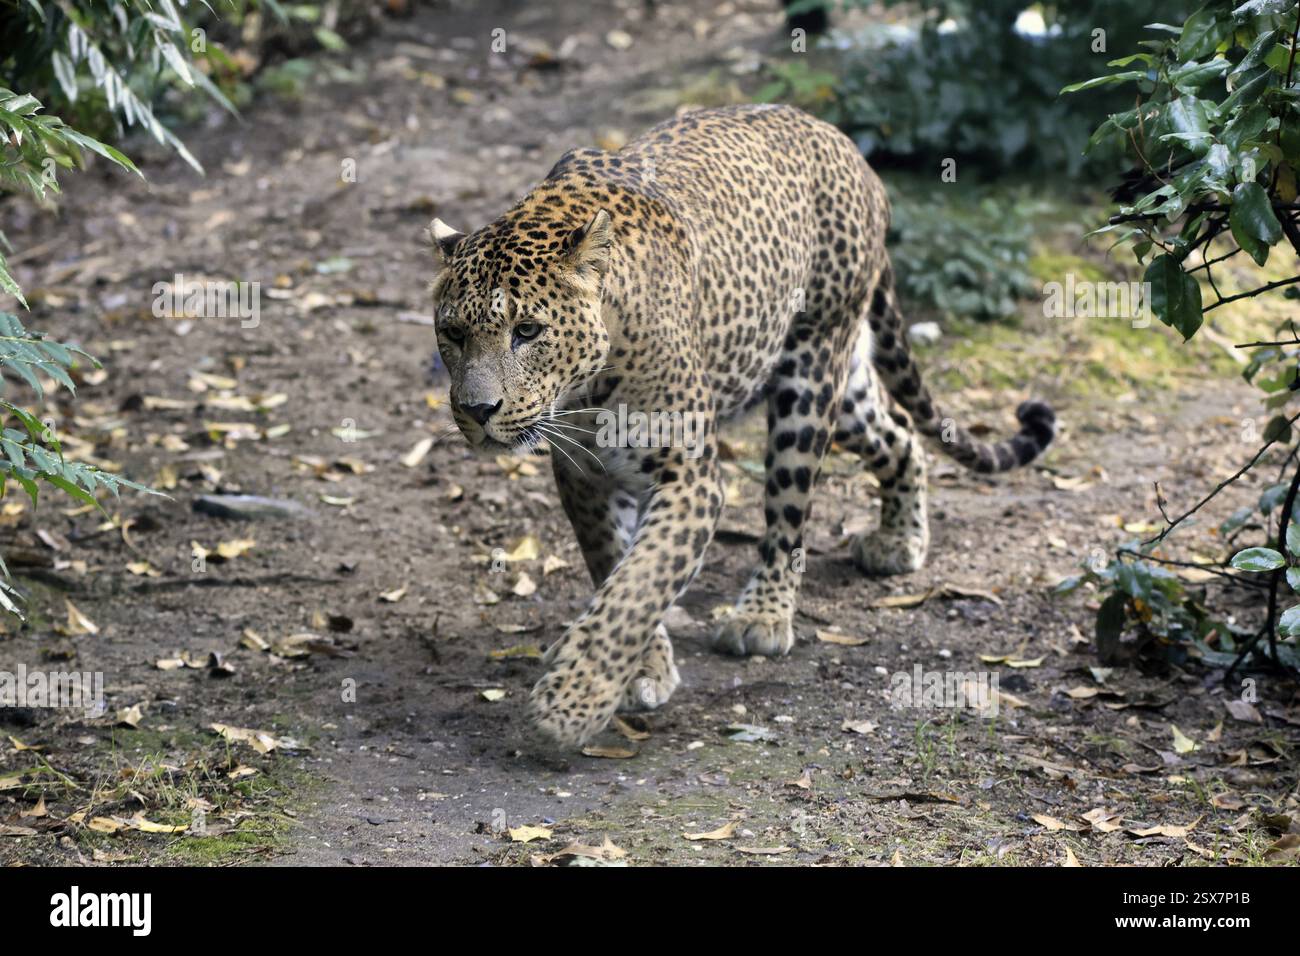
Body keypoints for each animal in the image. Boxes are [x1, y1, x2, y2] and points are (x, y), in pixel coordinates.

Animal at [427, 104, 1056, 749]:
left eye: (527, 331)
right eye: (452, 334)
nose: (477, 410)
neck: (588, 382)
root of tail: (844, 145)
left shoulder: (690, 476)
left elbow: (640, 583)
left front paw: (572, 699)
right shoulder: (584, 475)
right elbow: (614, 565)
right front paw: (642, 667)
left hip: (809, 375)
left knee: (789, 514)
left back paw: (762, 615)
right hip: (843, 387)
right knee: (900, 432)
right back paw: (899, 539)